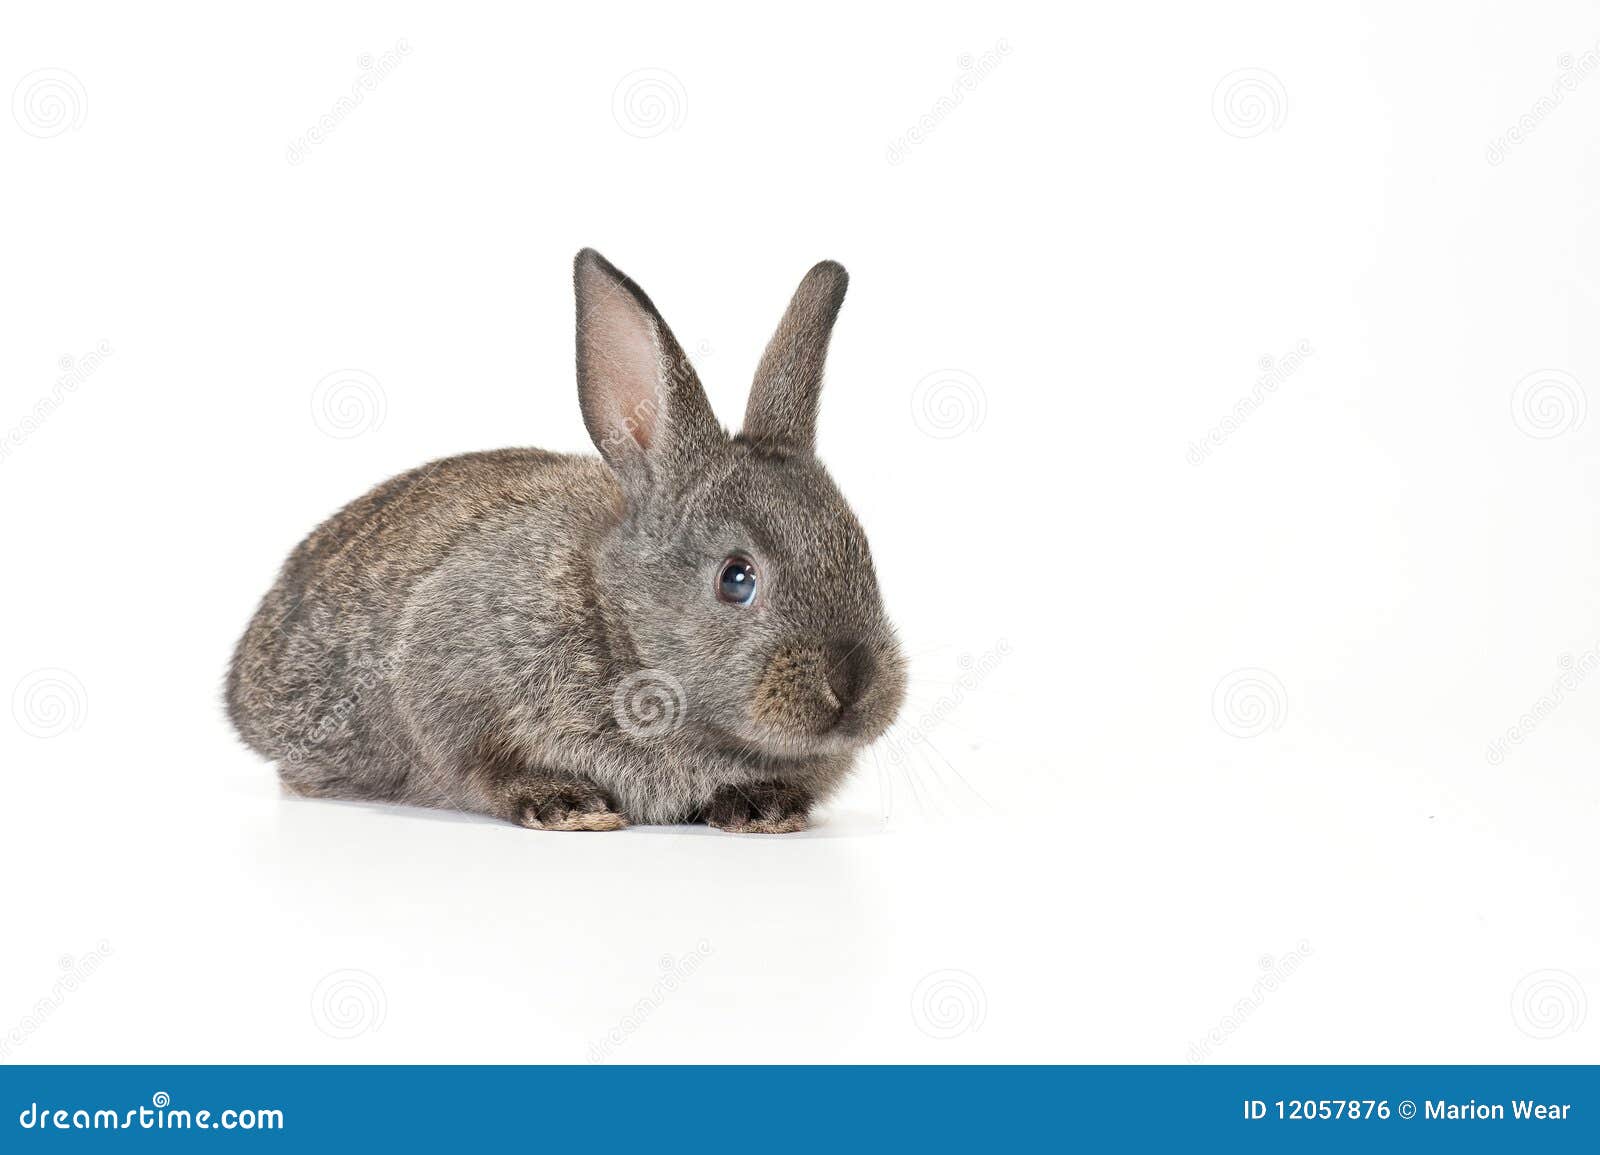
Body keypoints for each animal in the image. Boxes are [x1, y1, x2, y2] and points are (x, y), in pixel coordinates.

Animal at [225, 249, 907, 832]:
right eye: (737, 578)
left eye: (863, 556)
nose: (852, 687)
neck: (617, 620)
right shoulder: (442, 684)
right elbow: (479, 769)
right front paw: (566, 804)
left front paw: (764, 808)